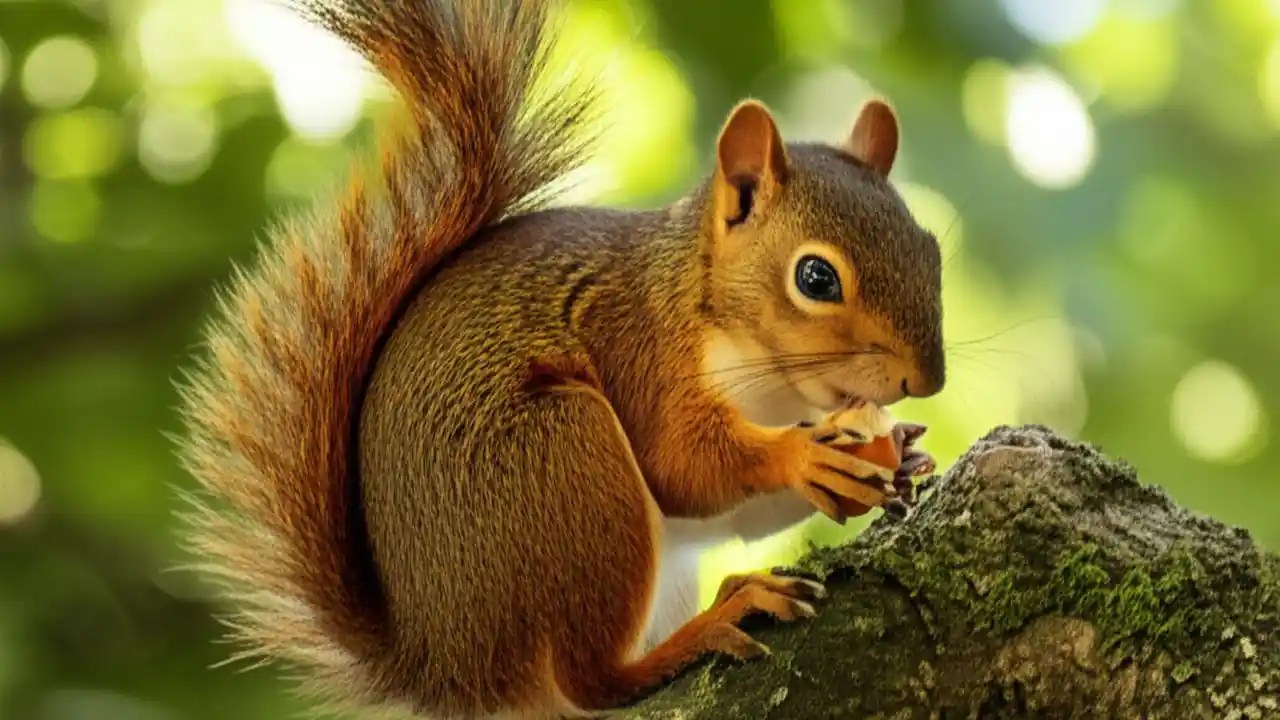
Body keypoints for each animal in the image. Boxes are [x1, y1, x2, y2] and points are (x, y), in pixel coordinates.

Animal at [177, 0, 945, 718]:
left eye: (932, 249)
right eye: (816, 278)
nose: (927, 380)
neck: (769, 382)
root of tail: (449, 670)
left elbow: (738, 516)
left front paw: (903, 452)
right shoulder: (640, 346)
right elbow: (682, 467)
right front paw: (803, 457)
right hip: (564, 462)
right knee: (593, 680)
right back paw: (712, 623)